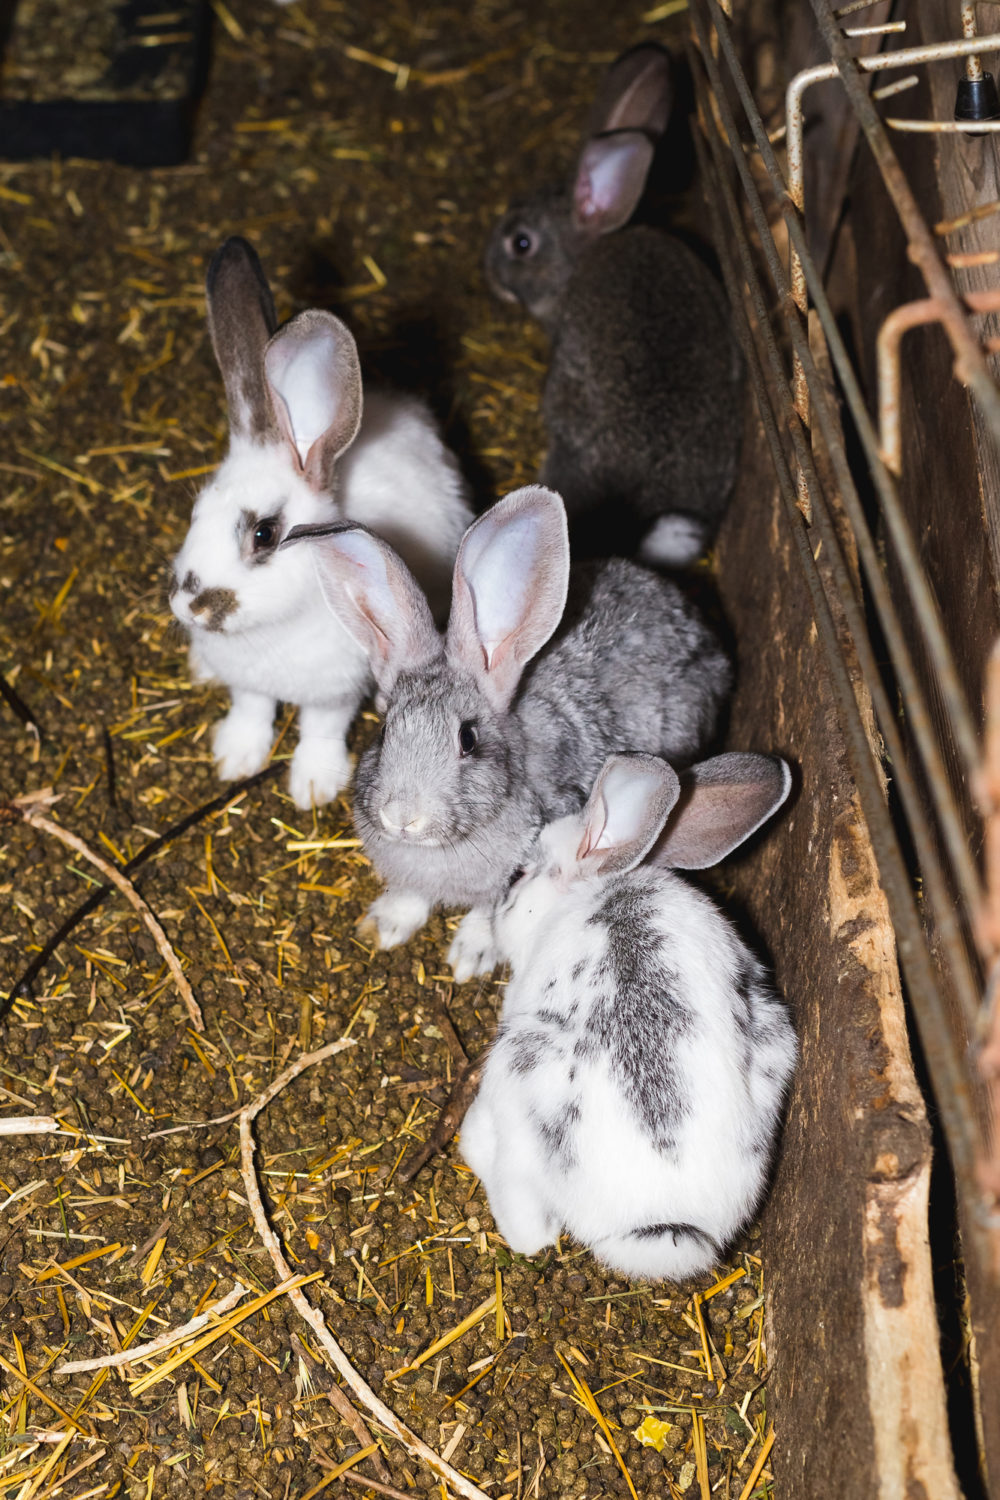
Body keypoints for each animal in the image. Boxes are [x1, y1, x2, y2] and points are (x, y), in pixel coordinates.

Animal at [169, 236, 472, 809]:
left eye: (264, 534)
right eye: (195, 513)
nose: (189, 607)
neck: (268, 633)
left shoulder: (334, 692)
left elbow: (320, 730)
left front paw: (313, 786)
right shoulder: (249, 684)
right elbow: (251, 712)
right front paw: (234, 758)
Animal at [283, 483, 731, 978]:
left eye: (468, 740)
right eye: (383, 730)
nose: (401, 817)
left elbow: (490, 912)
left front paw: (470, 956)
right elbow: (412, 896)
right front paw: (383, 927)